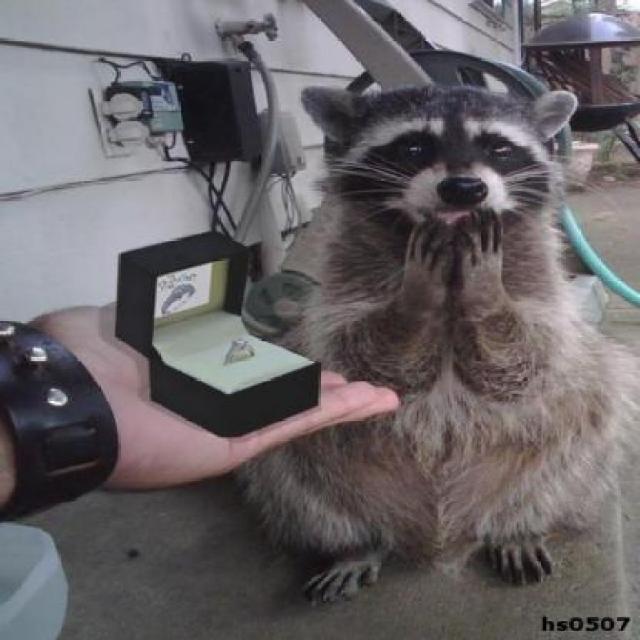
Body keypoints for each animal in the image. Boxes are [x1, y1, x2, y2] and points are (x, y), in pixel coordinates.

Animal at [239, 85, 639, 603]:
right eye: (413, 146)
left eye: (498, 147)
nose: (464, 189)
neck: (452, 254)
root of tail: (439, 535)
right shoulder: (344, 282)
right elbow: (362, 361)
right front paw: (415, 300)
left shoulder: (540, 280)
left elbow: (532, 359)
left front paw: (487, 296)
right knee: (288, 462)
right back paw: (353, 544)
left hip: (560, 459)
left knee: (590, 415)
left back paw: (518, 526)